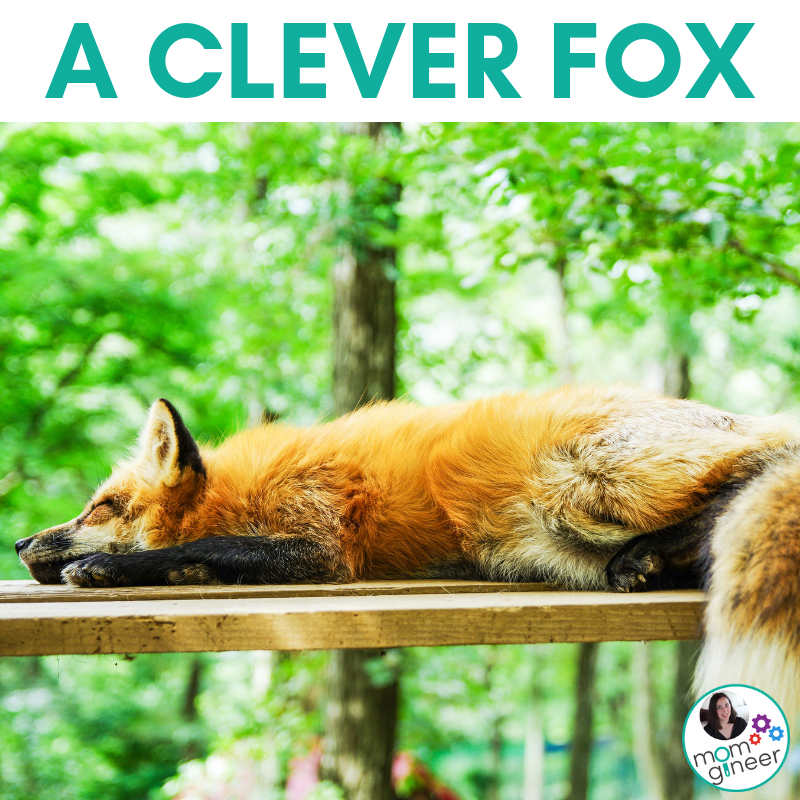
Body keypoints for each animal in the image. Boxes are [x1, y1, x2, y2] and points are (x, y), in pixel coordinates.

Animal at [15, 384, 800, 719]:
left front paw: (108, 566)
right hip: (539, 543)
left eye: (100, 507)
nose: (20, 540)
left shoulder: (321, 546)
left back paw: (647, 555)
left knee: (744, 484)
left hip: (568, 481)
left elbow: (209, 546)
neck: (243, 491)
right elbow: (205, 552)